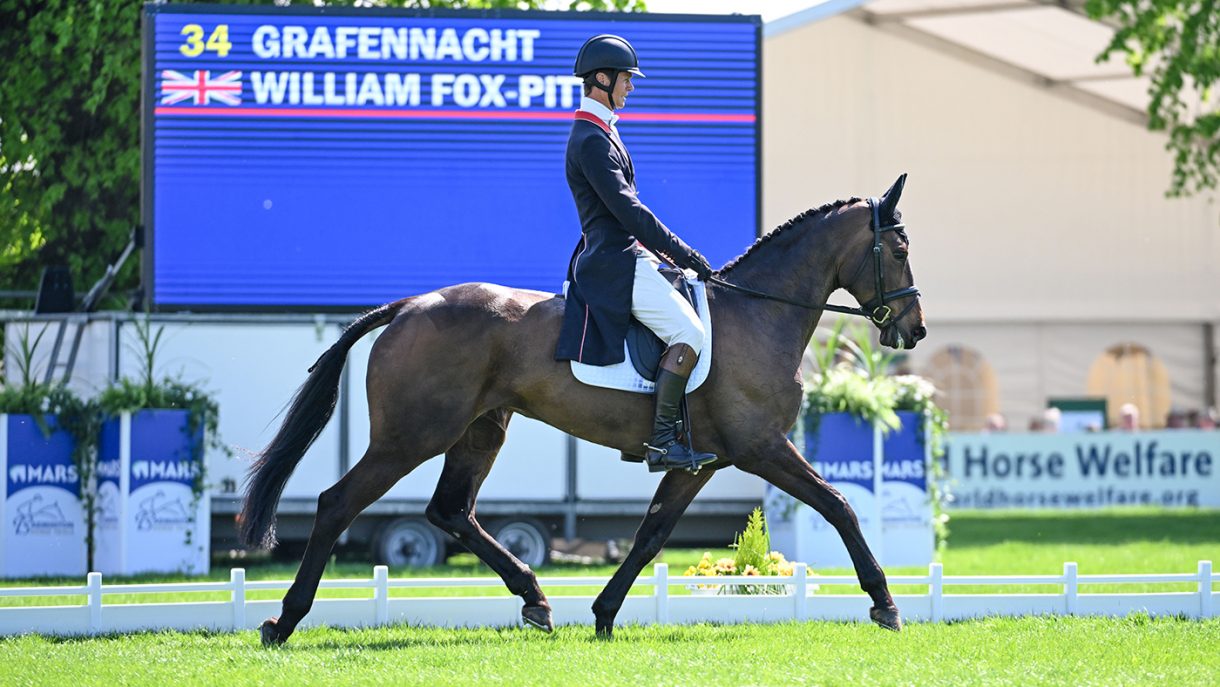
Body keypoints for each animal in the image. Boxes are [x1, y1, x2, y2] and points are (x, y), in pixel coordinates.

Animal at [240, 174, 926, 645]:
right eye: (898, 250)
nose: (913, 330)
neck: (758, 312)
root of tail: (409, 305)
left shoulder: (700, 462)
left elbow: (651, 534)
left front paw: (602, 614)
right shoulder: (762, 448)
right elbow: (839, 506)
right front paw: (885, 605)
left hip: (478, 432)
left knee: (451, 511)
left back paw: (536, 600)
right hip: (410, 436)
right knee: (338, 504)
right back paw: (283, 621)